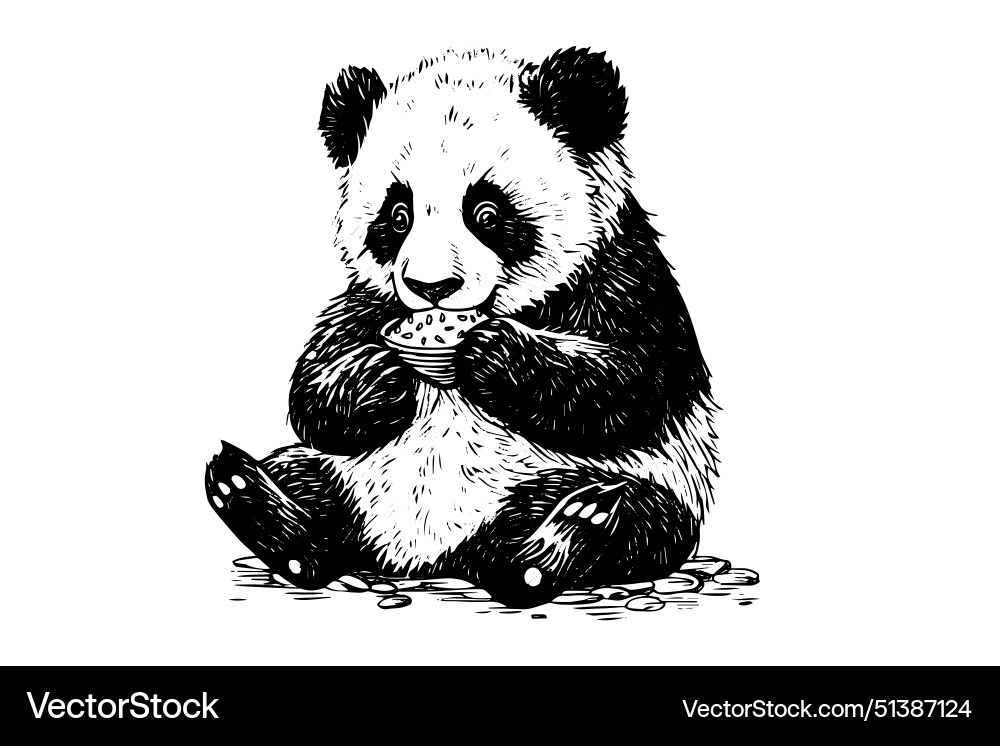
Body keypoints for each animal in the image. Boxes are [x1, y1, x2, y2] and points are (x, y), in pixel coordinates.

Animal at [205, 48, 719, 609]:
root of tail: (427, 557)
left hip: (594, 480)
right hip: (350, 480)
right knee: (301, 476)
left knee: (637, 516)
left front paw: (490, 352)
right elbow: (315, 389)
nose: (432, 286)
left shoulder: (620, 271)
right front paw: (381, 375)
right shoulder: (370, 298)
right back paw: (259, 505)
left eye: (487, 212)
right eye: (398, 215)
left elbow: (631, 379)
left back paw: (562, 538)